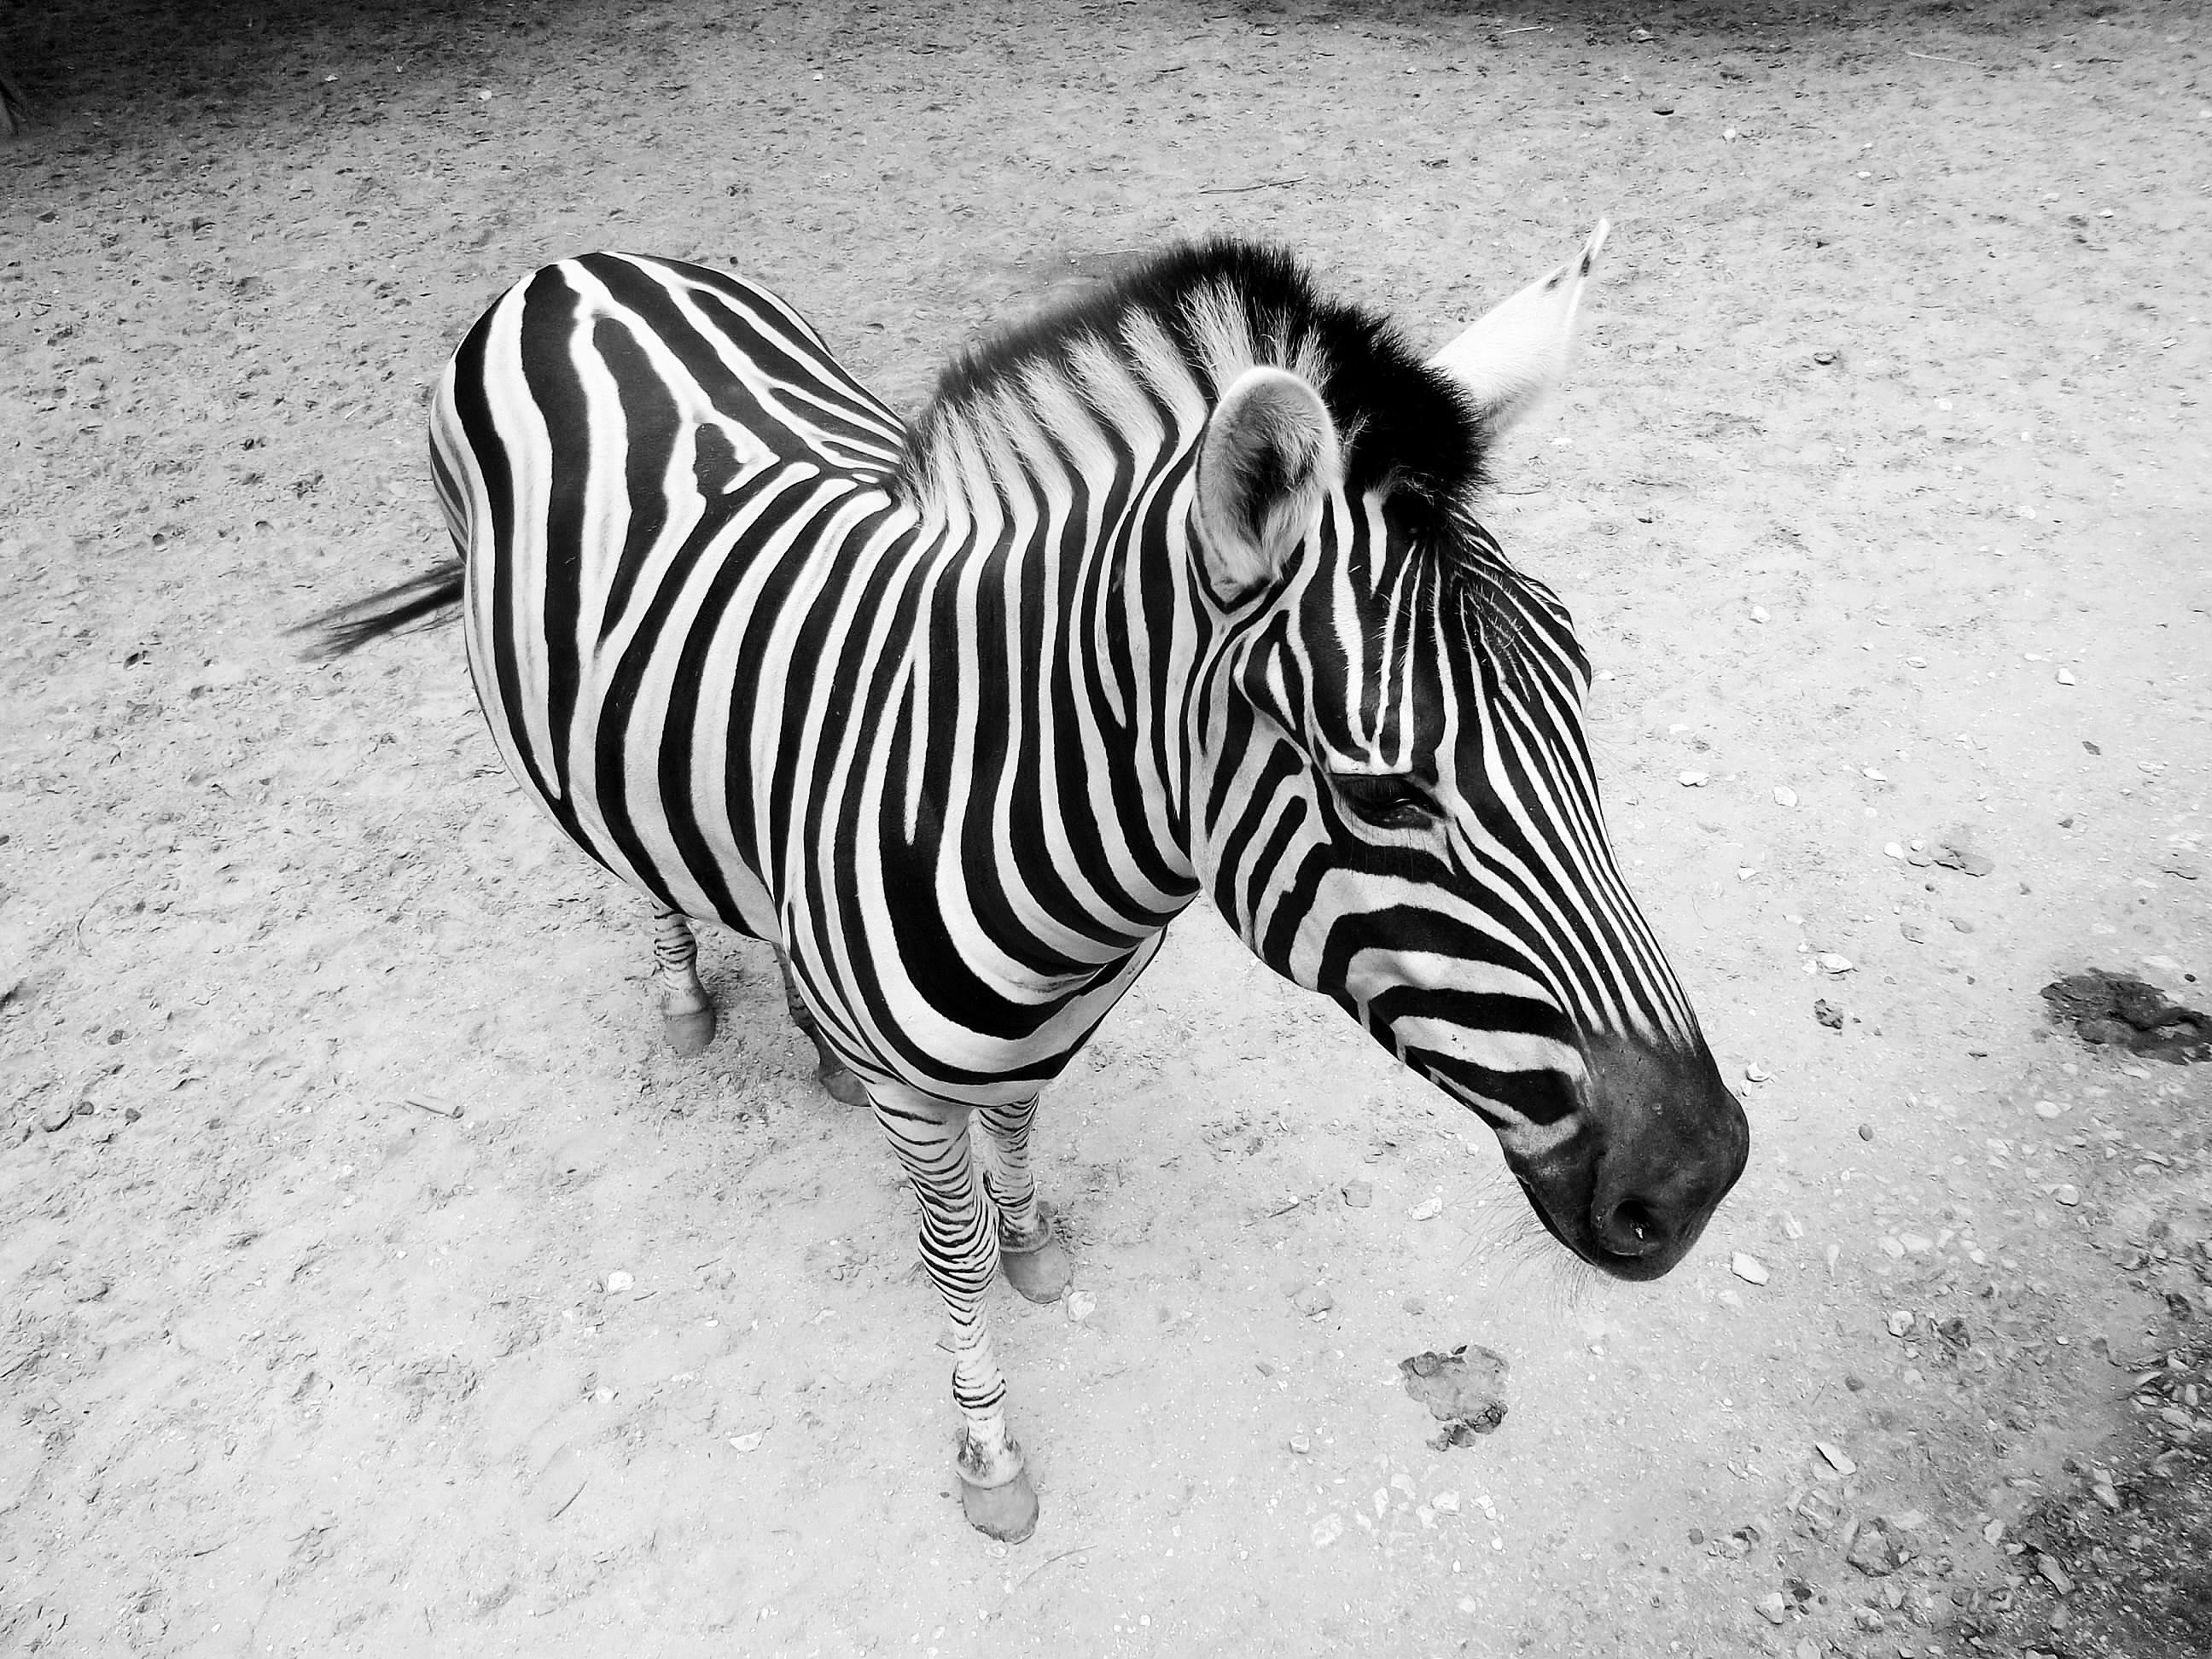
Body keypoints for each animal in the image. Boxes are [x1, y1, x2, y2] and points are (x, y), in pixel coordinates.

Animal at [319, 224, 1750, 1542]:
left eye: (1579, 693)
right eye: (1387, 792)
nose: (1700, 1178)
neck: (1038, 826)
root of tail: (576, 266)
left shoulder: (1053, 1025)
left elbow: (1013, 1129)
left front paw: (1031, 1238)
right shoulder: (924, 1091)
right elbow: (948, 1265)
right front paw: (988, 1452)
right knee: (634, 862)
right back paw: (682, 994)